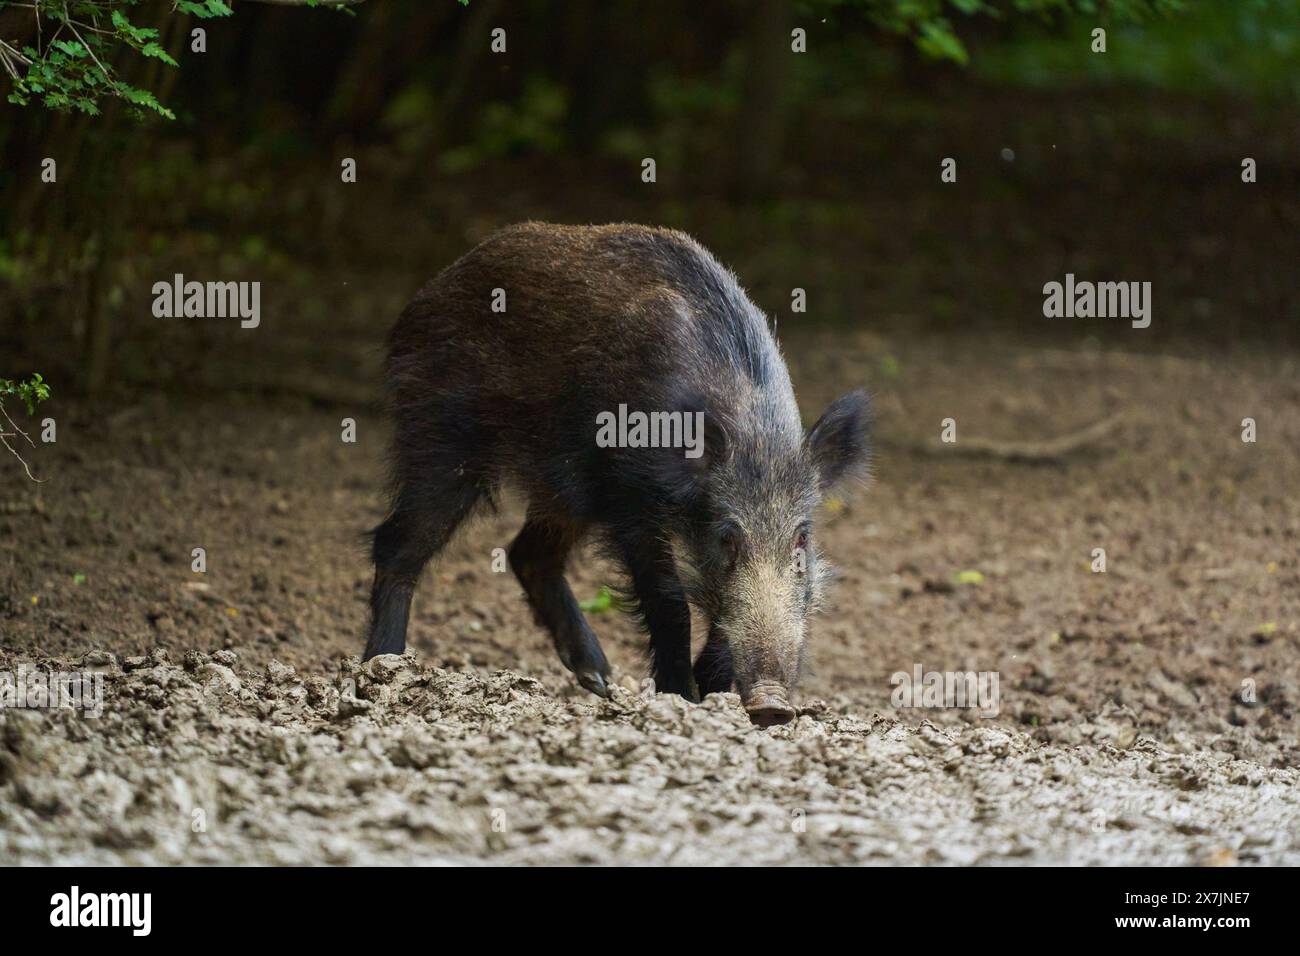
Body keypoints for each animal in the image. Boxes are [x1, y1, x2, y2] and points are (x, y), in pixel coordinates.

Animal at [364, 223, 870, 725]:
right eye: (727, 537)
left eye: (802, 537)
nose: (772, 706)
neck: (753, 433)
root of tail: (429, 292)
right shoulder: (629, 497)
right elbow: (670, 600)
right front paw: (681, 697)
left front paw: (710, 693)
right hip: (441, 437)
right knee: (399, 545)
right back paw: (382, 667)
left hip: (561, 489)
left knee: (526, 553)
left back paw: (599, 680)